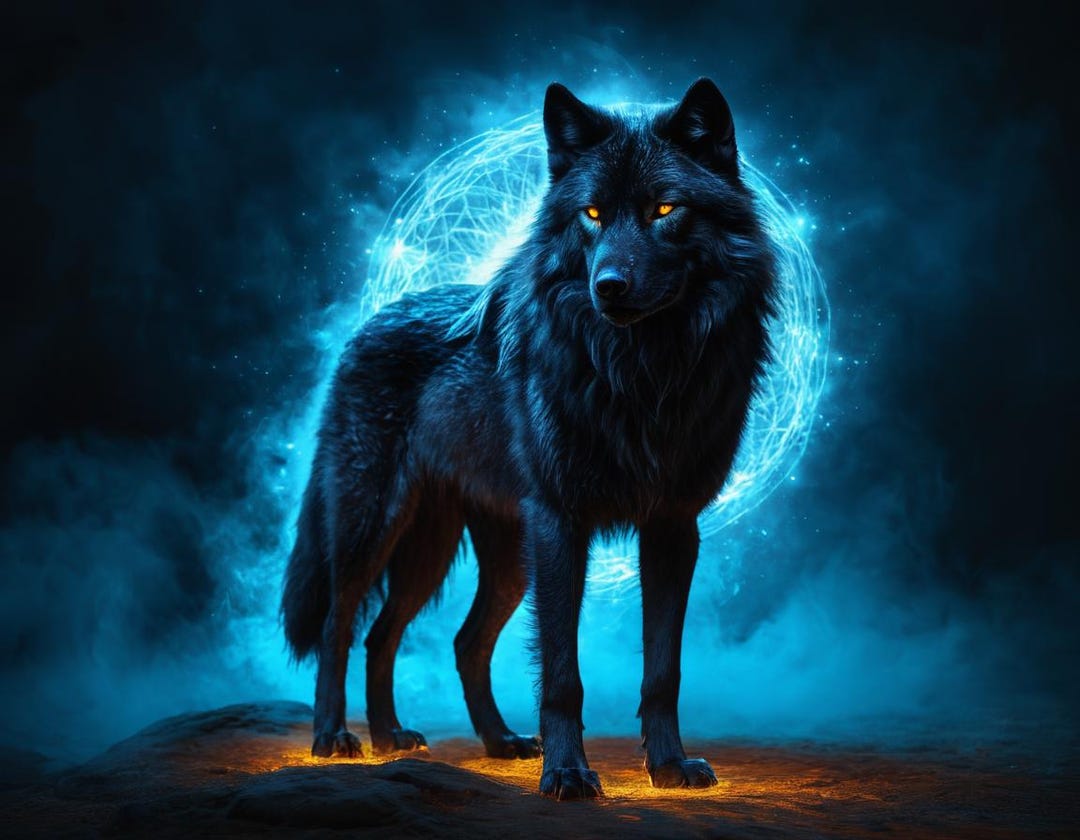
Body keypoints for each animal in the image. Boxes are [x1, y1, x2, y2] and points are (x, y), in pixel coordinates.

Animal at [282, 77, 775, 799]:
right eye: (592, 214)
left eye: (665, 209)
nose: (609, 286)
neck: (642, 372)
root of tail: (368, 322)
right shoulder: (561, 523)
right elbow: (563, 674)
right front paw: (567, 775)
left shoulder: (673, 527)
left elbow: (663, 670)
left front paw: (669, 767)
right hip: (376, 527)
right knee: (338, 626)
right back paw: (334, 739)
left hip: (480, 556)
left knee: (426, 639)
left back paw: (437, 741)